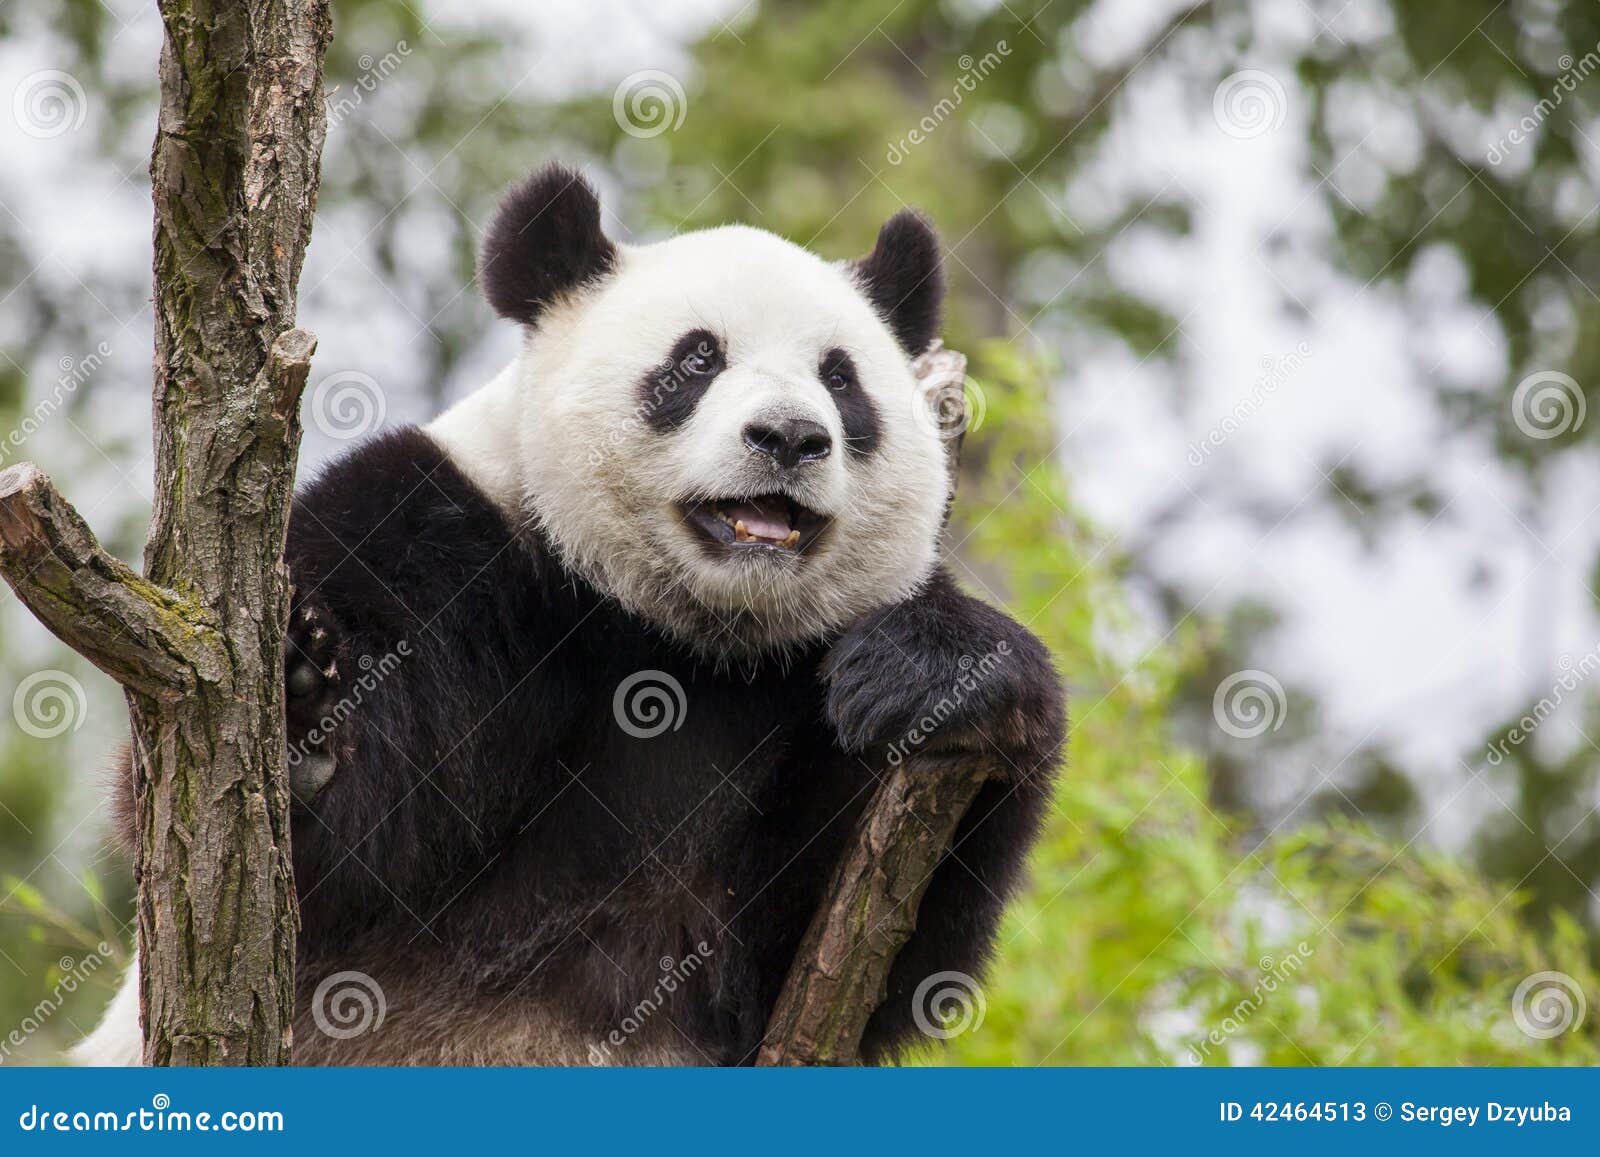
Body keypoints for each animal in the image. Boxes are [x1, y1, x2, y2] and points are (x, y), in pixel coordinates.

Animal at [74, 163, 1065, 1066]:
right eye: (698, 358)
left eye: (842, 379)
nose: (790, 436)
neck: (692, 634)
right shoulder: (441, 530)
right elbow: (284, 862)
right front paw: (300, 711)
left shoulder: (793, 690)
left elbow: (867, 961)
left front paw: (939, 673)